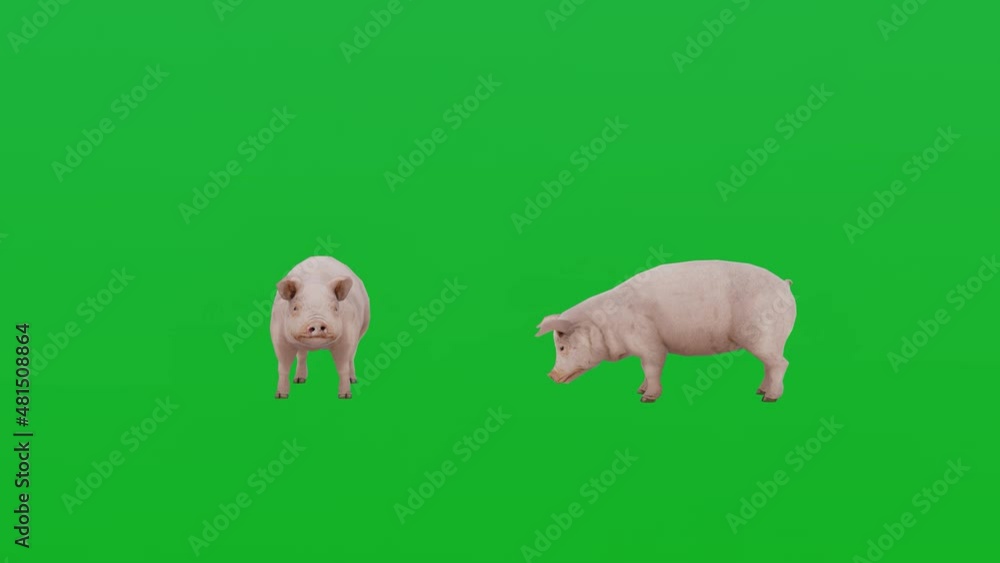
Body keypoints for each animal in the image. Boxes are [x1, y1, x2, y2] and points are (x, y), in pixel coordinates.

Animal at [270, 256, 370, 399]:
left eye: (335, 308)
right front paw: (280, 396)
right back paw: (299, 380)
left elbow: (343, 367)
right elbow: (283, 367)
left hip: (362, 327)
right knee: (302, 355)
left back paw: (353, 380)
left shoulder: (347, 336)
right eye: (295, 308)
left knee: (351, 357)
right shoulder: (278, 336)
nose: (317, 323)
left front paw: (345, 396)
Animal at [535, 260, 796, 403]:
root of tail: (784, 285)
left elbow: (652, 369)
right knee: (771, 365)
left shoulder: (650, 344)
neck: (607, 326)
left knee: (781, 364)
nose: (551, 375)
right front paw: (639, 389)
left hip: (765, 337)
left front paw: (646, 398)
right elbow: (645, 372)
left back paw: (769, 398)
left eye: (561, 347)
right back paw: (759, 391)